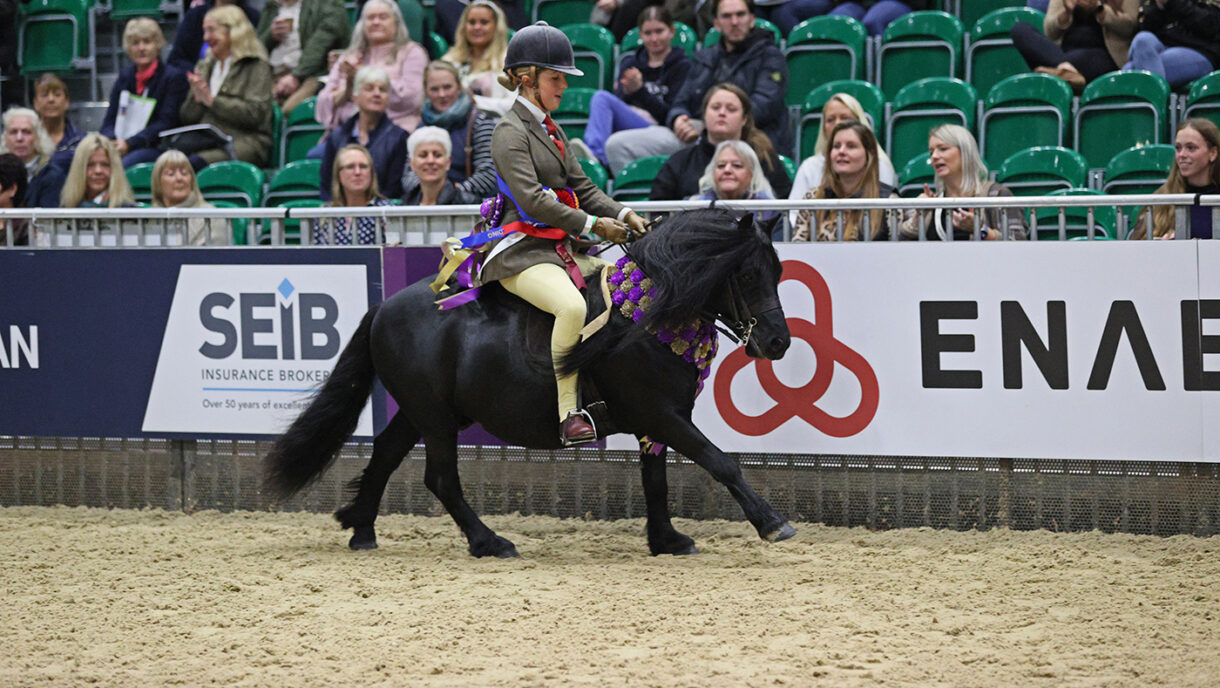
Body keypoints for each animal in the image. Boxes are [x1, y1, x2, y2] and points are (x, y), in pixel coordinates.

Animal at [263, 208, 796, 557]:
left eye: (777, 271)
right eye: (747, 274)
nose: (777, 343)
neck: (647, 313)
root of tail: (385, 306)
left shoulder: (658, 419)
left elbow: (656, 478)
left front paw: (666, 540)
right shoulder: (659, 412)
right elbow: (720, 462)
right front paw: (772, 524)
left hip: (422, 411)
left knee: (386, 453)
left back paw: (361, 530)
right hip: (434, 417)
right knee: (440, 477)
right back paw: (489, 542)